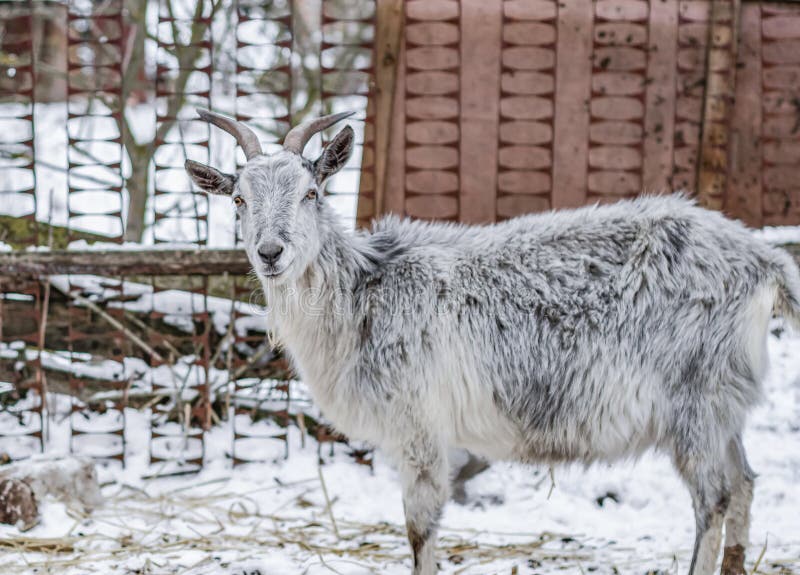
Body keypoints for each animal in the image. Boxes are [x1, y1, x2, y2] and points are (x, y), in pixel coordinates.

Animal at [186, 109, 800, 575]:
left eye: (311, 192)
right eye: (238, 200)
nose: (270, 252)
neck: (364, 292)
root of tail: (766, 262)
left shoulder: (419, 425)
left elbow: (420, 526)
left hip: (695, 399)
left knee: (713, 497)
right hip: (725, 401)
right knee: (744, 483)